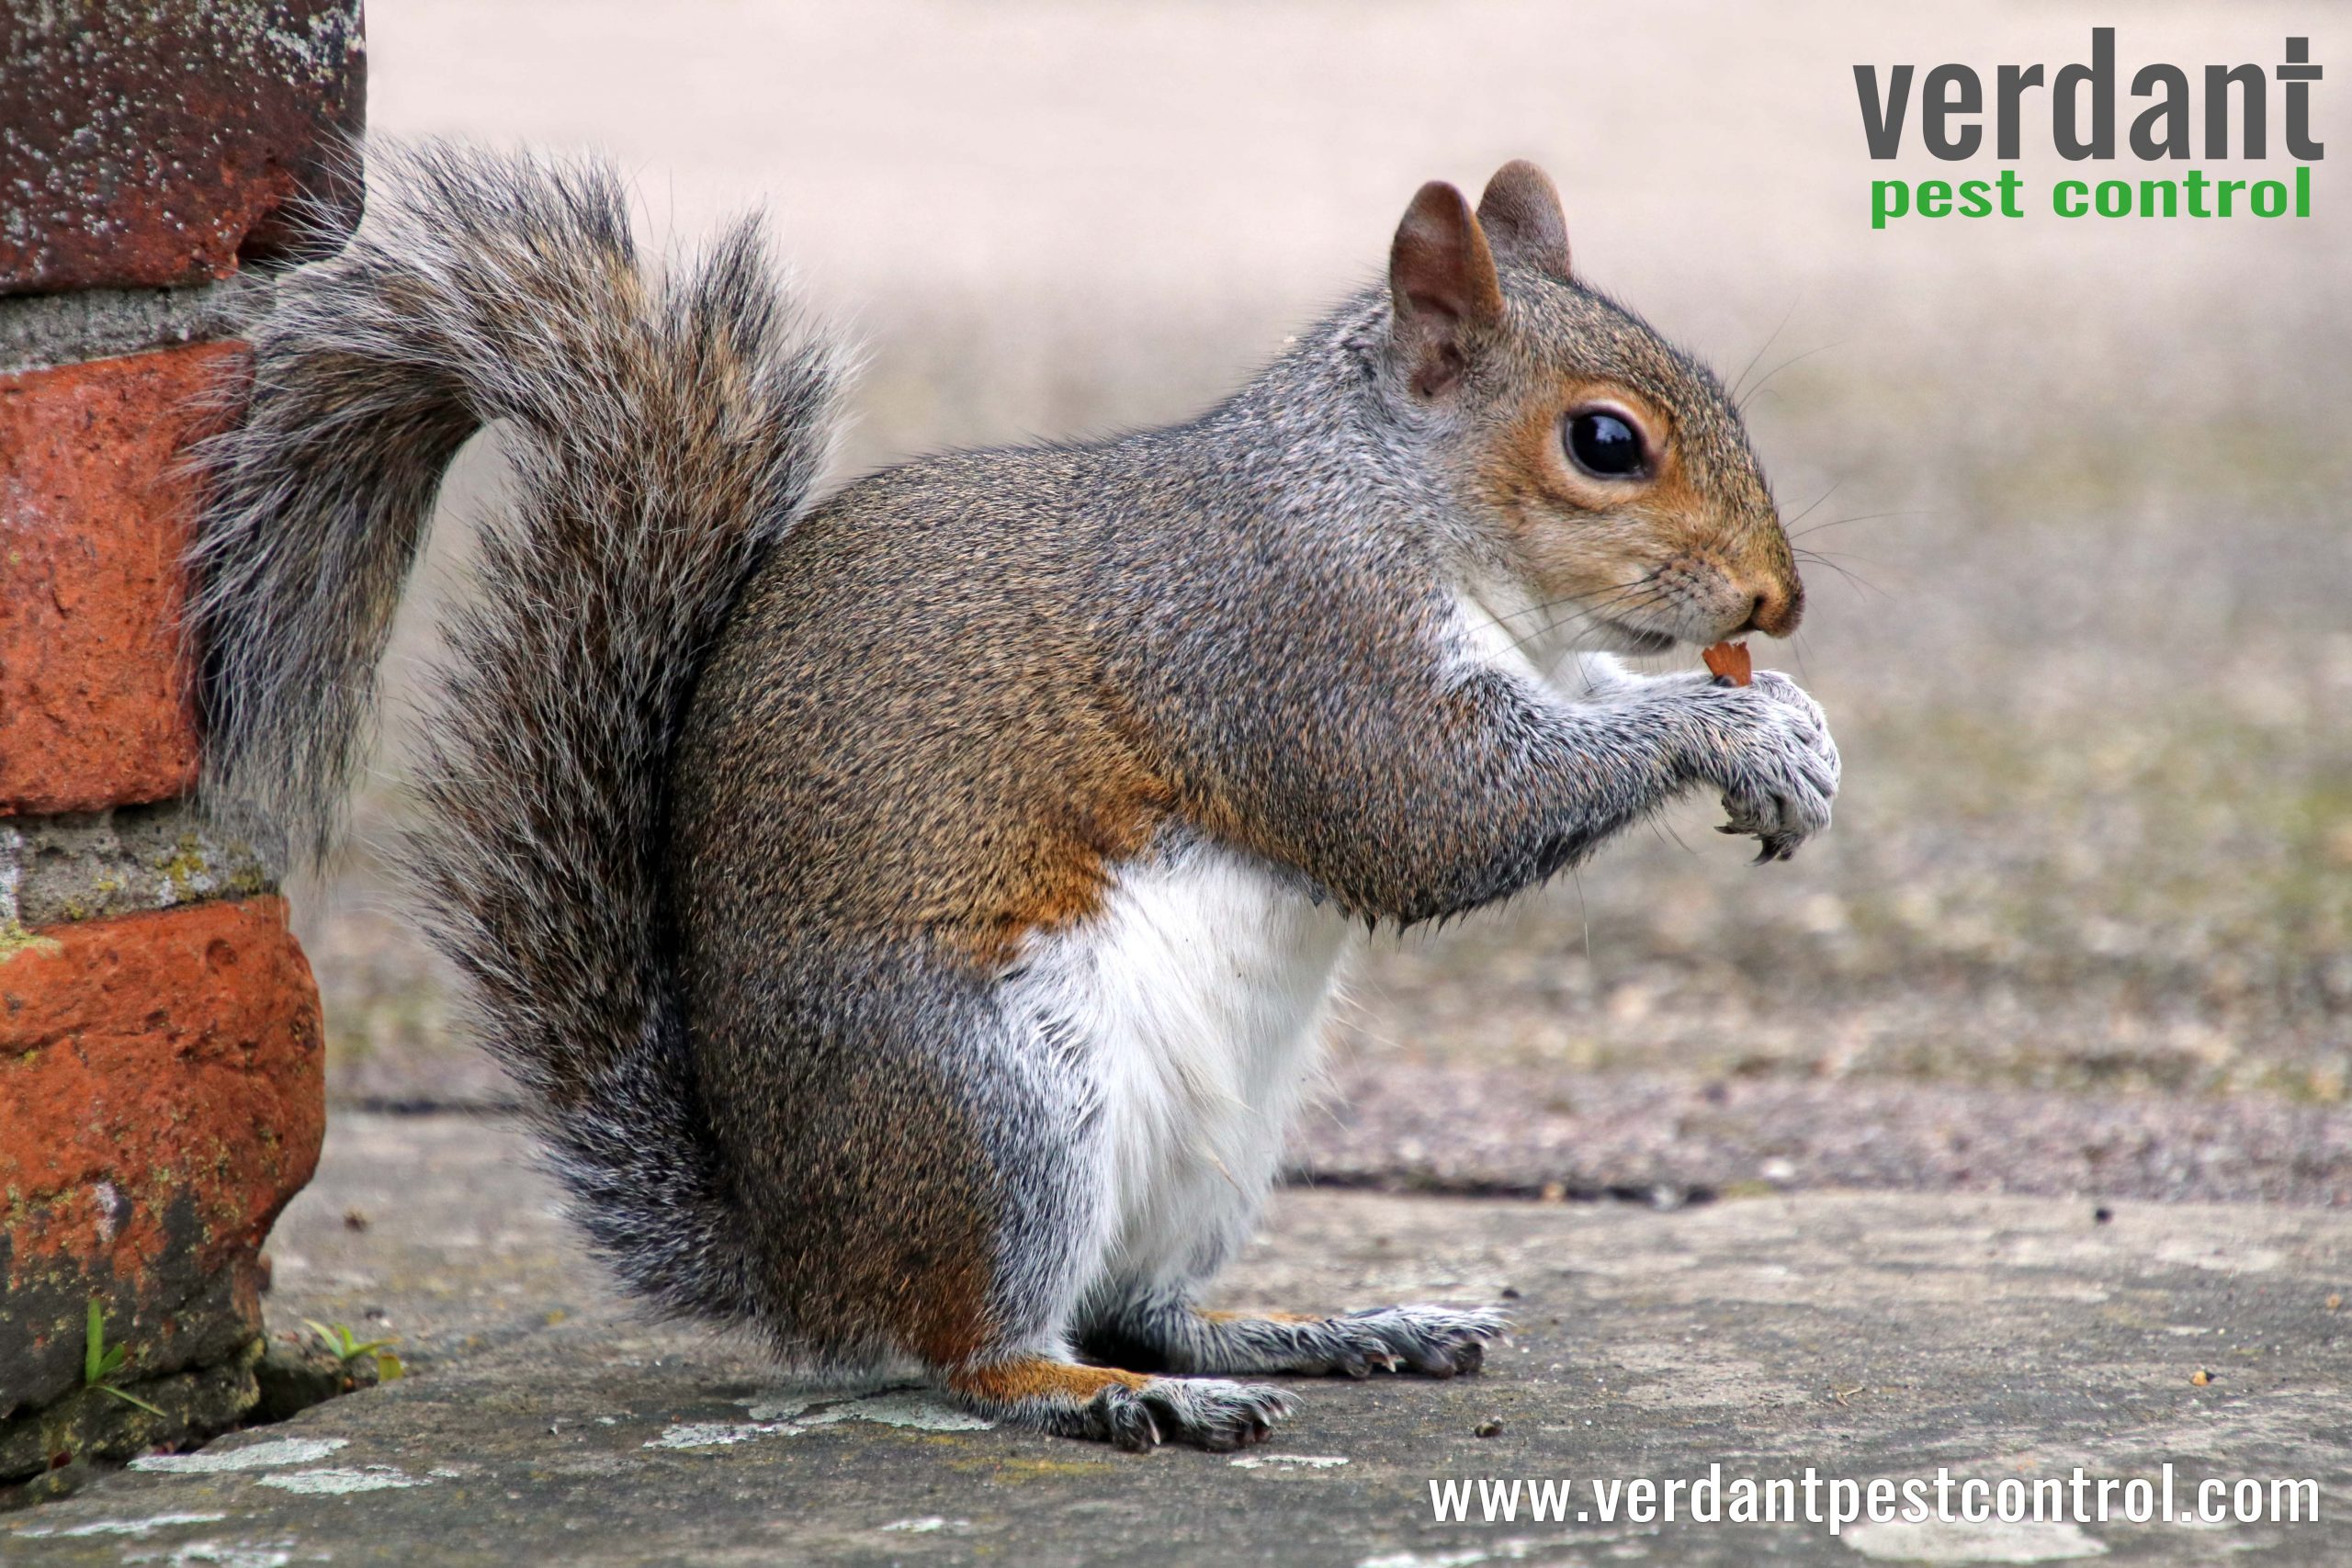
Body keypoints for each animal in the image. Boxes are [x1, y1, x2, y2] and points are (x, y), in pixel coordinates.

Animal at [190, 143, 1839, 1452]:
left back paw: (1325, 1329)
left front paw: (1791, 727)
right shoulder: (1286, 644)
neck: (1386, 499)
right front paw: (1725, 728)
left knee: (1144, 1303)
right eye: (1604, 441)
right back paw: (1109, 1397)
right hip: (996, 1103)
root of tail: (796, 1258)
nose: (1781, 599)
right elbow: (1432, 814)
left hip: (1216, 1146)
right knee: (980, 1349)